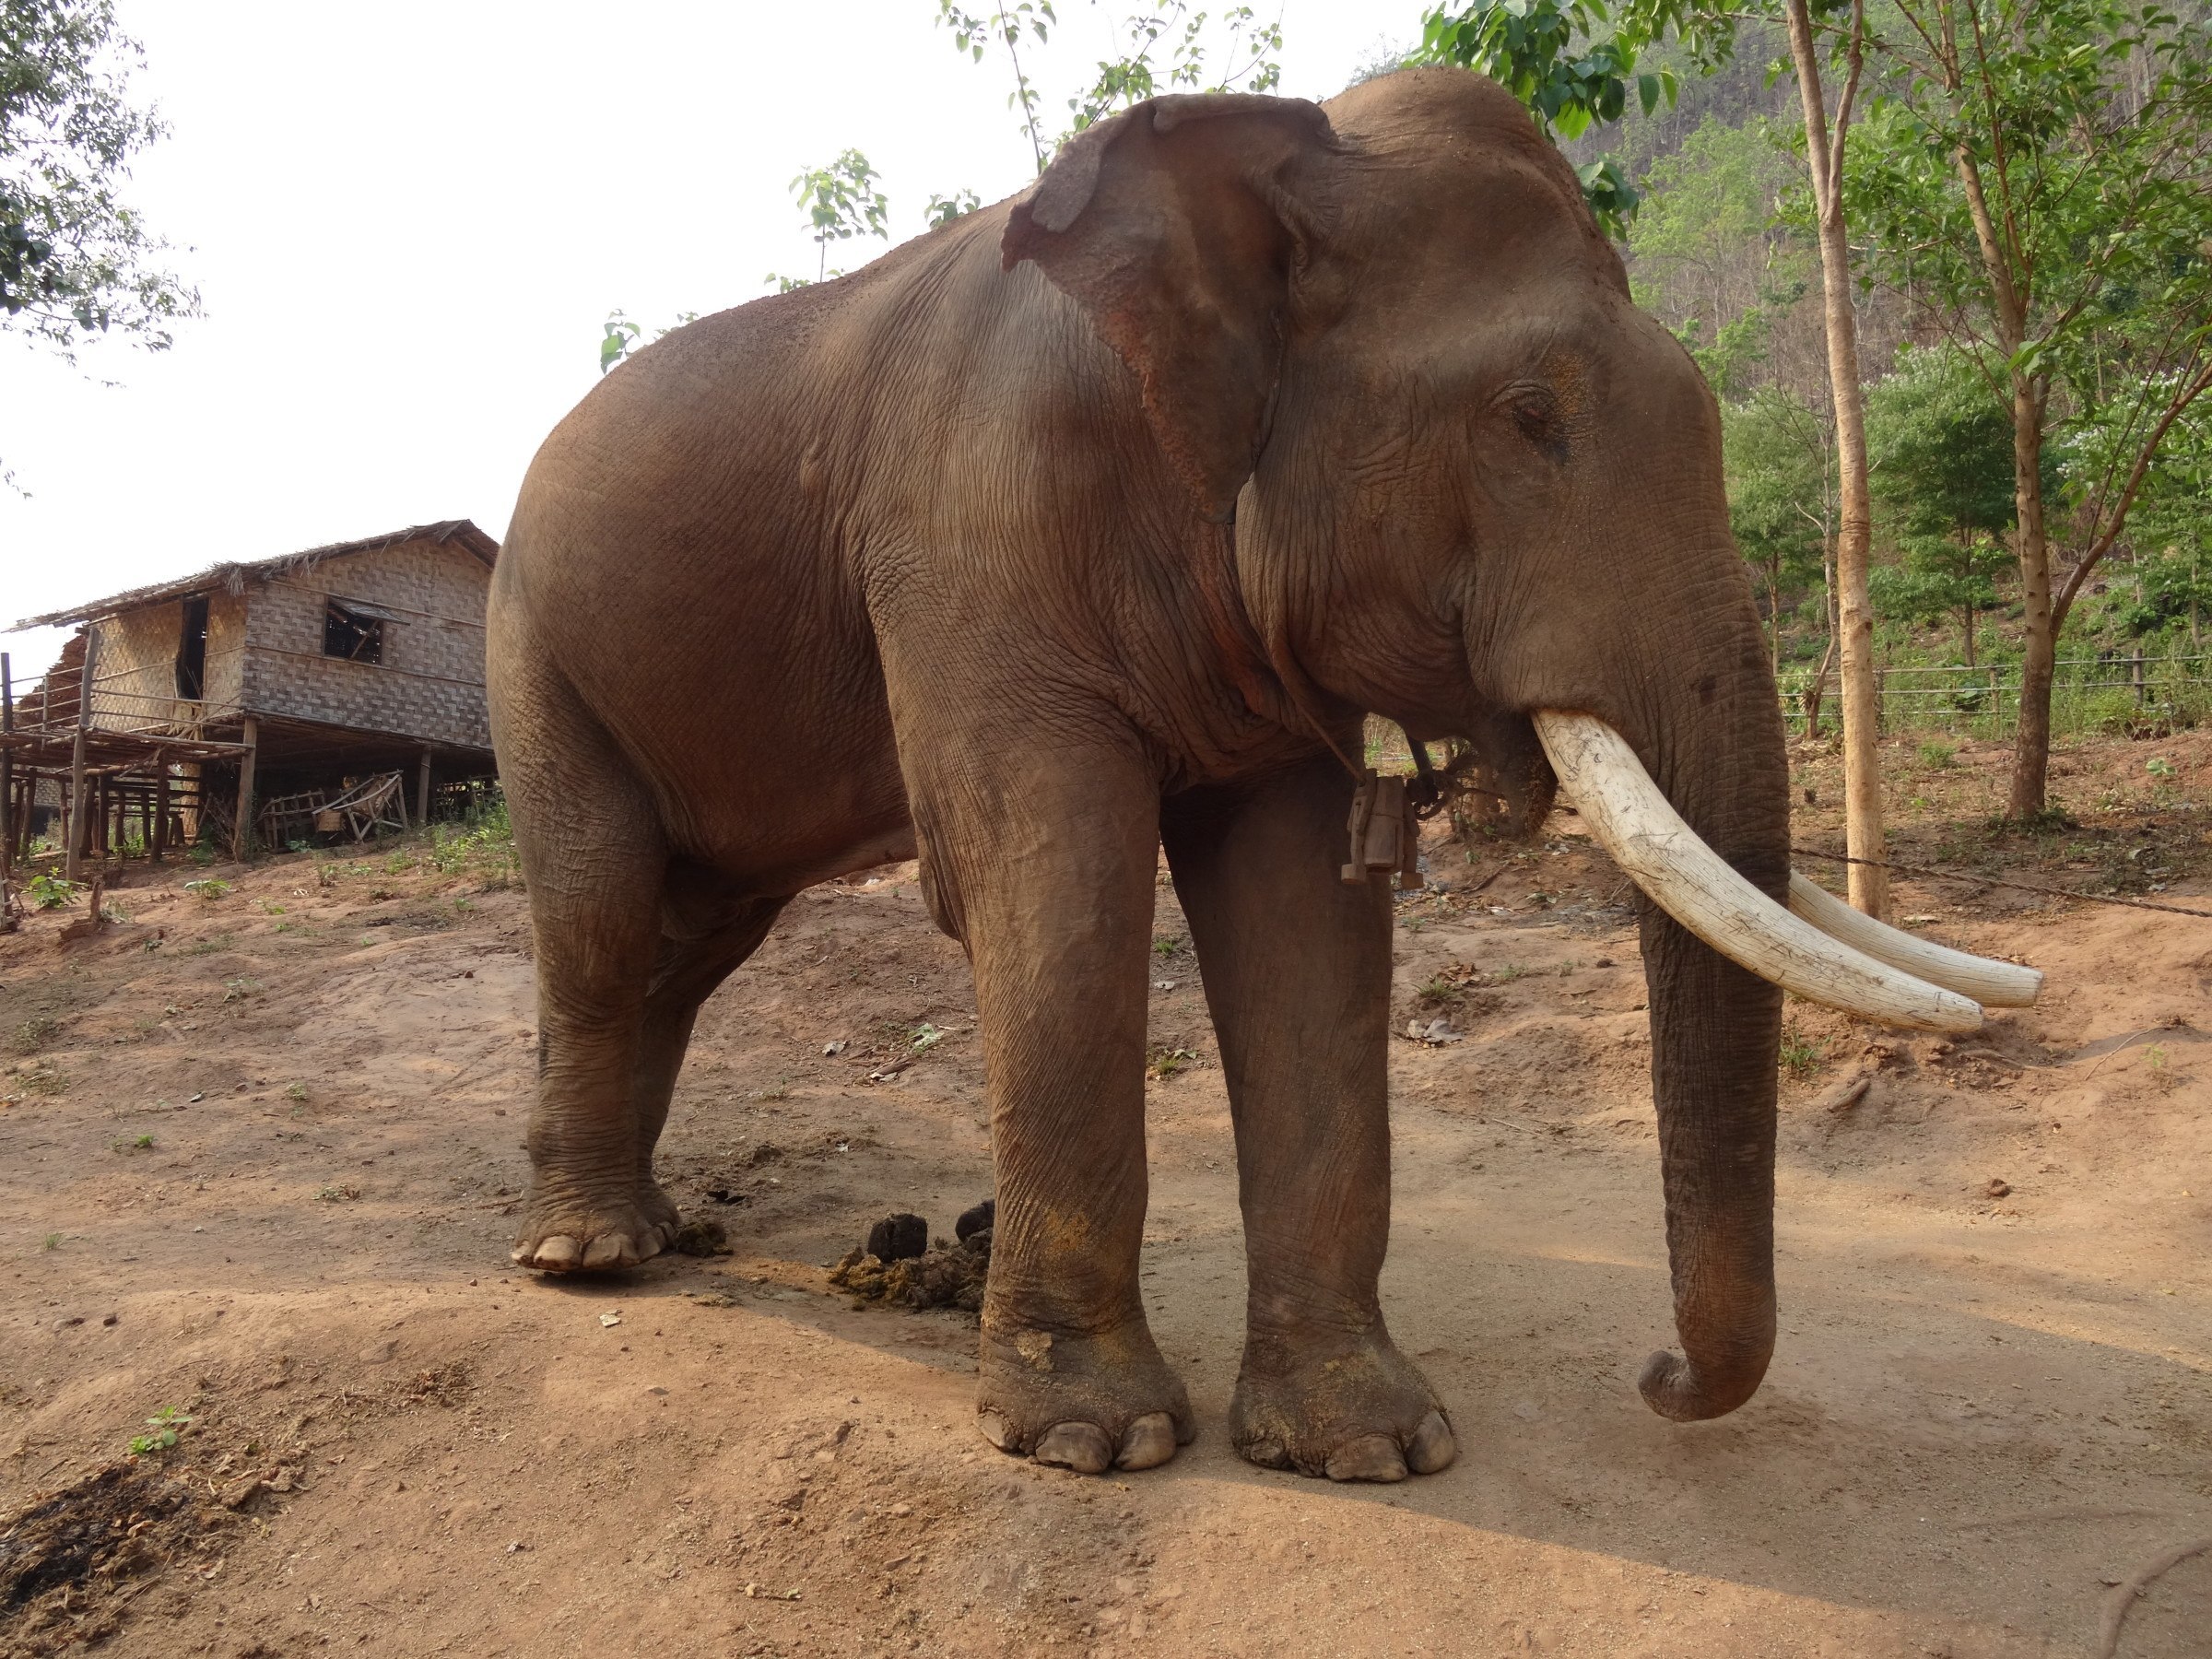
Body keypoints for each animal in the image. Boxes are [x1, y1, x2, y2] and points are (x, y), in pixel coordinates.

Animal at [486, 67, 2035, 1483]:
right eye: (1528, 416)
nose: (1655, 1376)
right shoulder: (967, 537)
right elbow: (1043, 878)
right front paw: (1092, 1443)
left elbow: (1300, 909)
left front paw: (1367, 1449)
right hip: (533, 654)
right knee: (605, 915)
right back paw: (589, 1255)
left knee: (692, 943)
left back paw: (656, 1225)